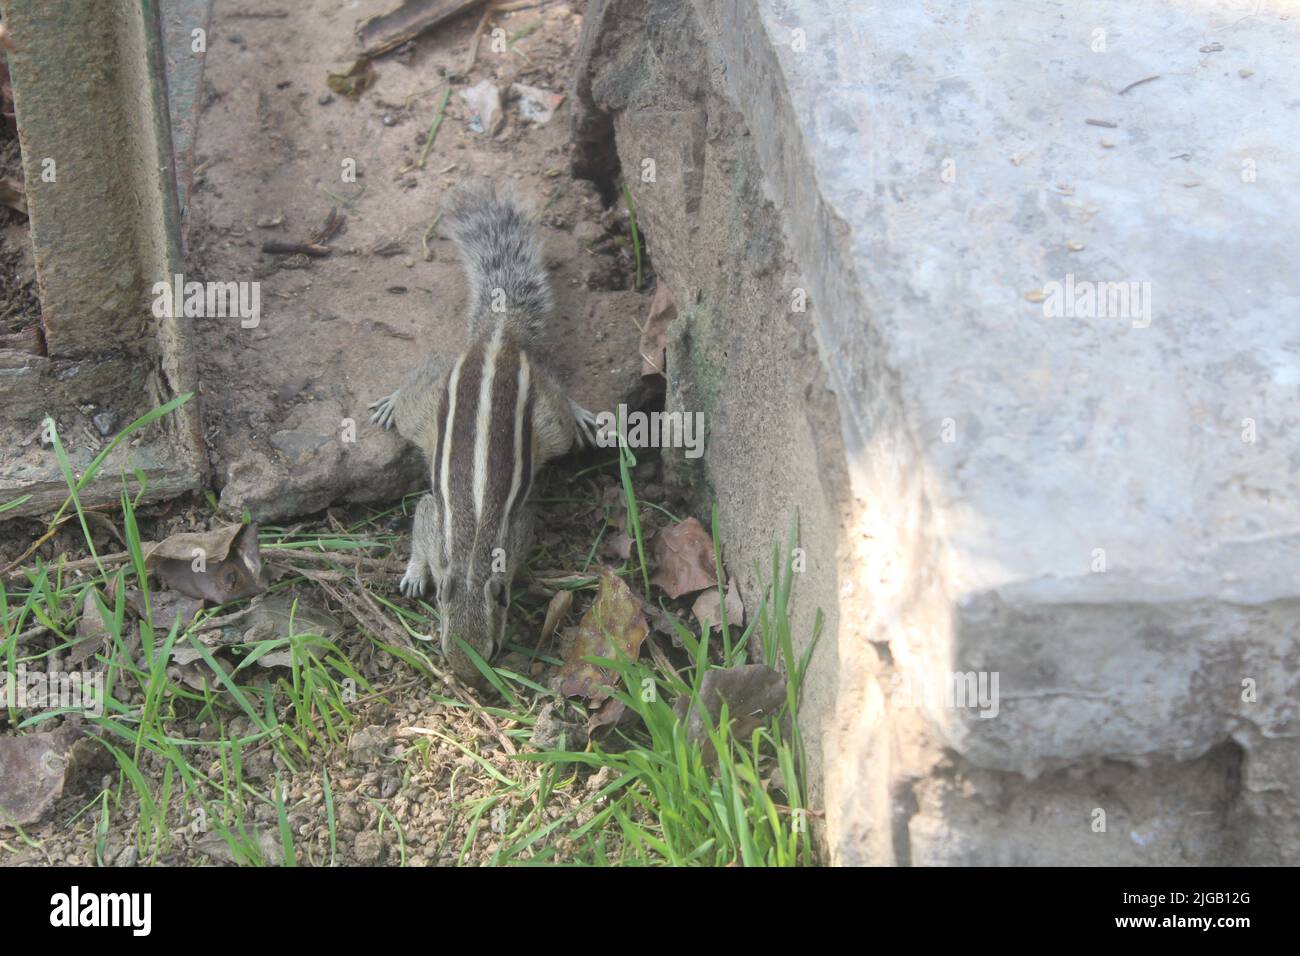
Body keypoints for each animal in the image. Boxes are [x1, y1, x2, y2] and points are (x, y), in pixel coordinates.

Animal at [369, 183, 598, 685]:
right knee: (418, 386)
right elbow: (421, 522)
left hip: (548, 425)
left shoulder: (516, 529)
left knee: (558, 406)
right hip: (427, 407)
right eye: (440, 602)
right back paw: (389, 401)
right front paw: (415, 573)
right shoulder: (434, 517)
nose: (469, 678)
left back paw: (581, 413)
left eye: (491, 648)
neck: (473, 550)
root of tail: (497, 336)